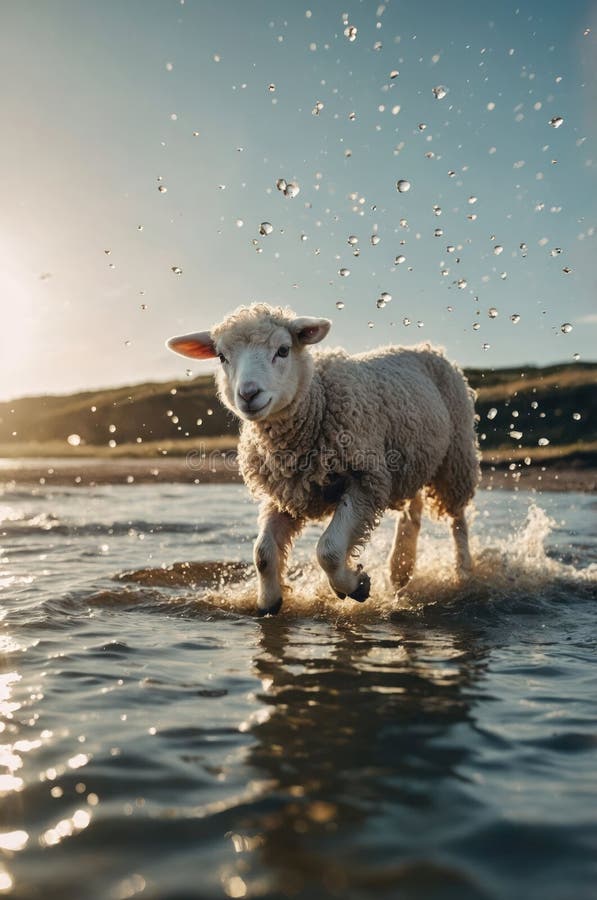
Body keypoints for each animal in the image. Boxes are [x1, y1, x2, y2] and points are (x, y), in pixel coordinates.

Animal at [167, 303, 480, 616]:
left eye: (283, 350)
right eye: (222, 357)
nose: (248, 394)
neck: (316, 405)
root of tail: (425, 347)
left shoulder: (365, 479)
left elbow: (328, 551)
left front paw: (355, 585)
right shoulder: (283, 493)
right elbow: (262, 554)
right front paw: (270, 601)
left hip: (457, 456)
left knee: (457, 520)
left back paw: (462, 572)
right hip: (412, 457)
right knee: (412, 512)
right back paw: (401, 569)